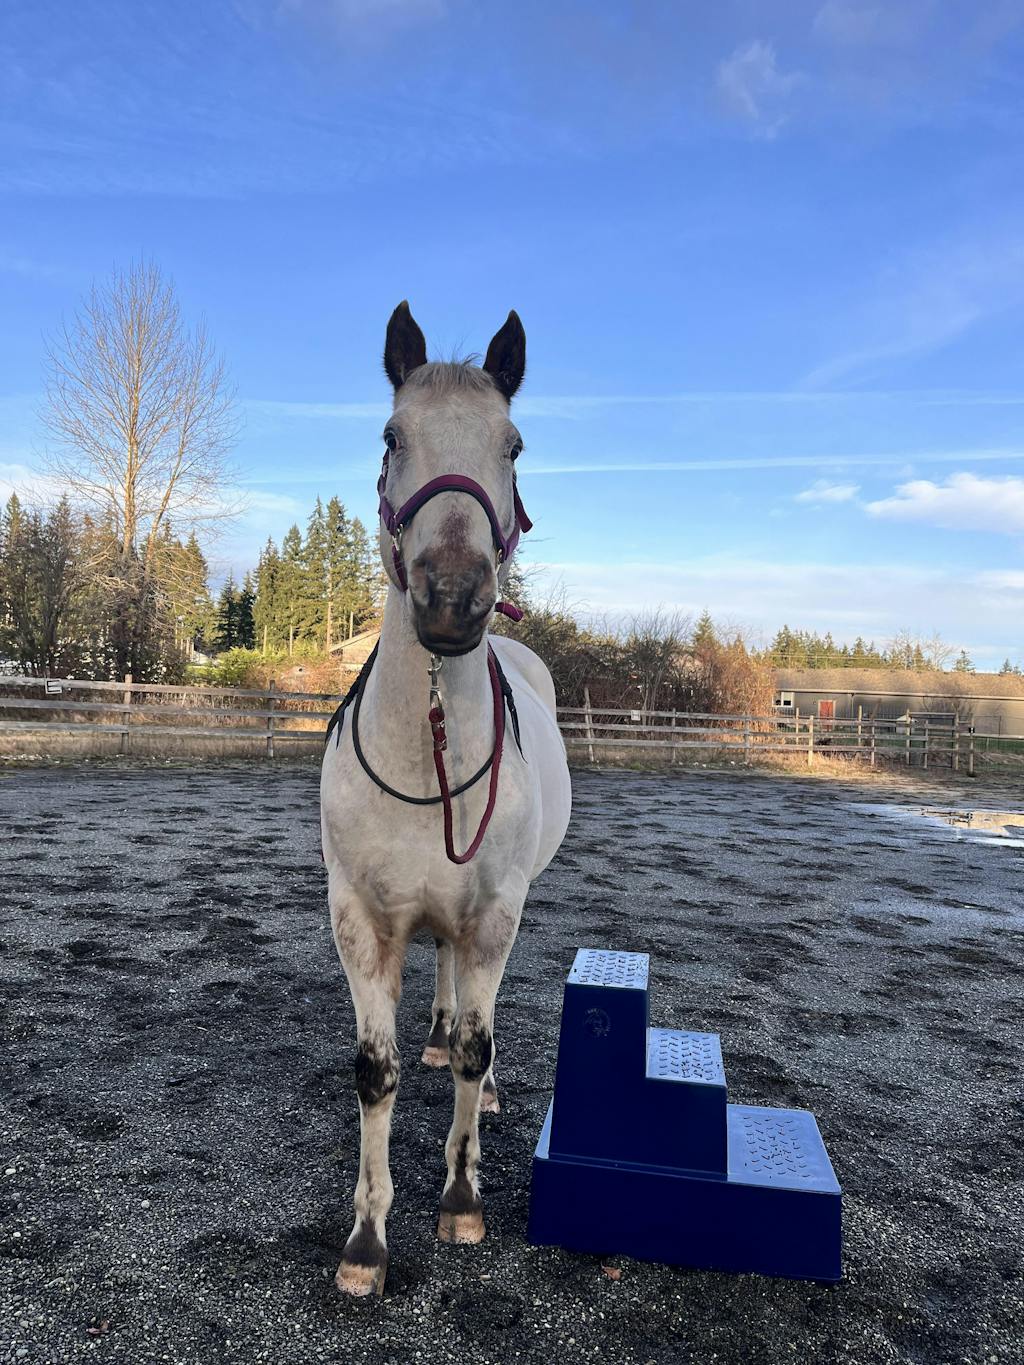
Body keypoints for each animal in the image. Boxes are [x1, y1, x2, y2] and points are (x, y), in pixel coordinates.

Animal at [320, 302, 572, 1297]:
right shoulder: (360, 919)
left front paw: (461, 1196)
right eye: (394, 436)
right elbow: (374, 1072)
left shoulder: (496, 911)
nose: (453, 600)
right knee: (445, 978)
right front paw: (367, 1239)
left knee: (476, 1012)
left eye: (514, 444)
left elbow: (477, 1043)